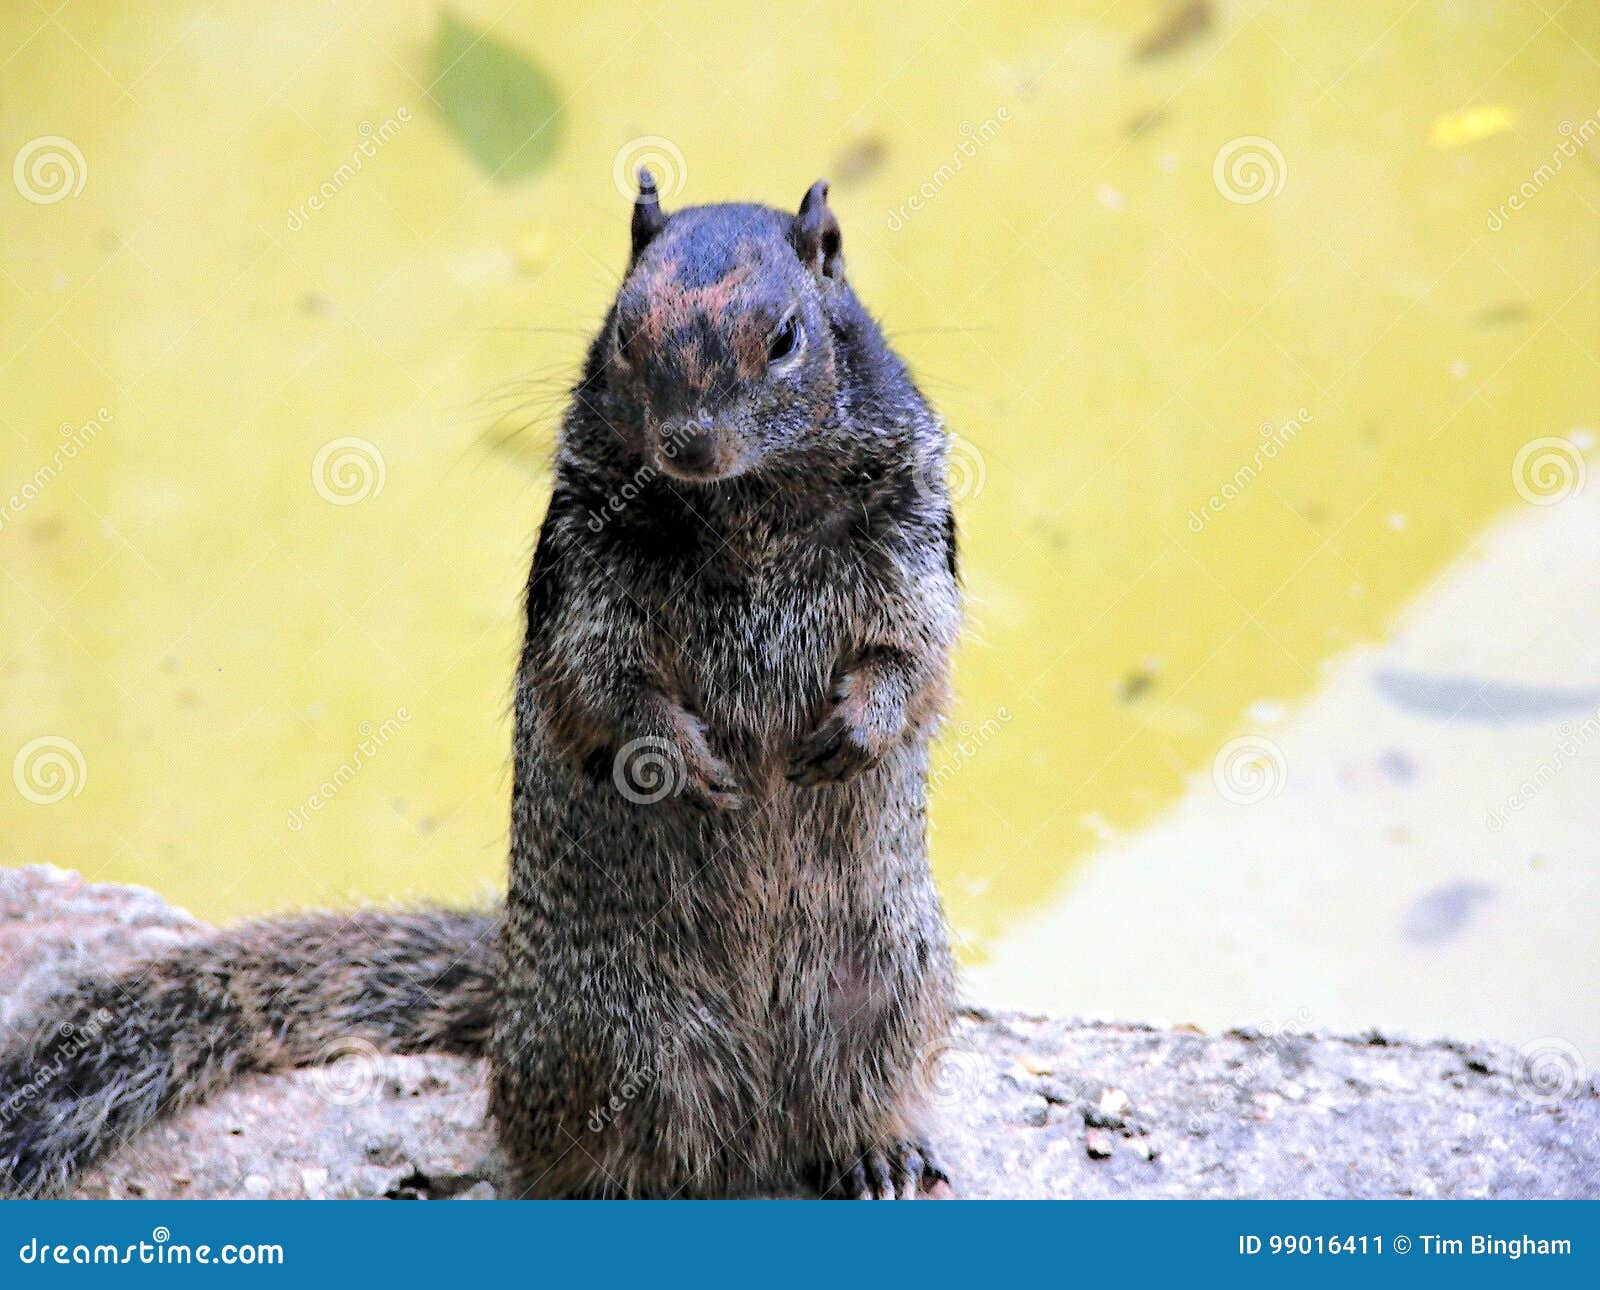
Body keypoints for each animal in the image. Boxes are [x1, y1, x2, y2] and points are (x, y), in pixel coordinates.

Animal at [0, 171, 961, 1200]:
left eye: (785, 338)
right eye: (625, 332)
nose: (688, 442)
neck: (744, 505)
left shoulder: (910, 533)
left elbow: (914, 649)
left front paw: (858, 729)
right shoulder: (589, 574)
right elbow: (602, 680)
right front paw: (683, 763)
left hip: (890, 994)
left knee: (852, 1096)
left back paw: (877, 1152)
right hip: (613, 1041)